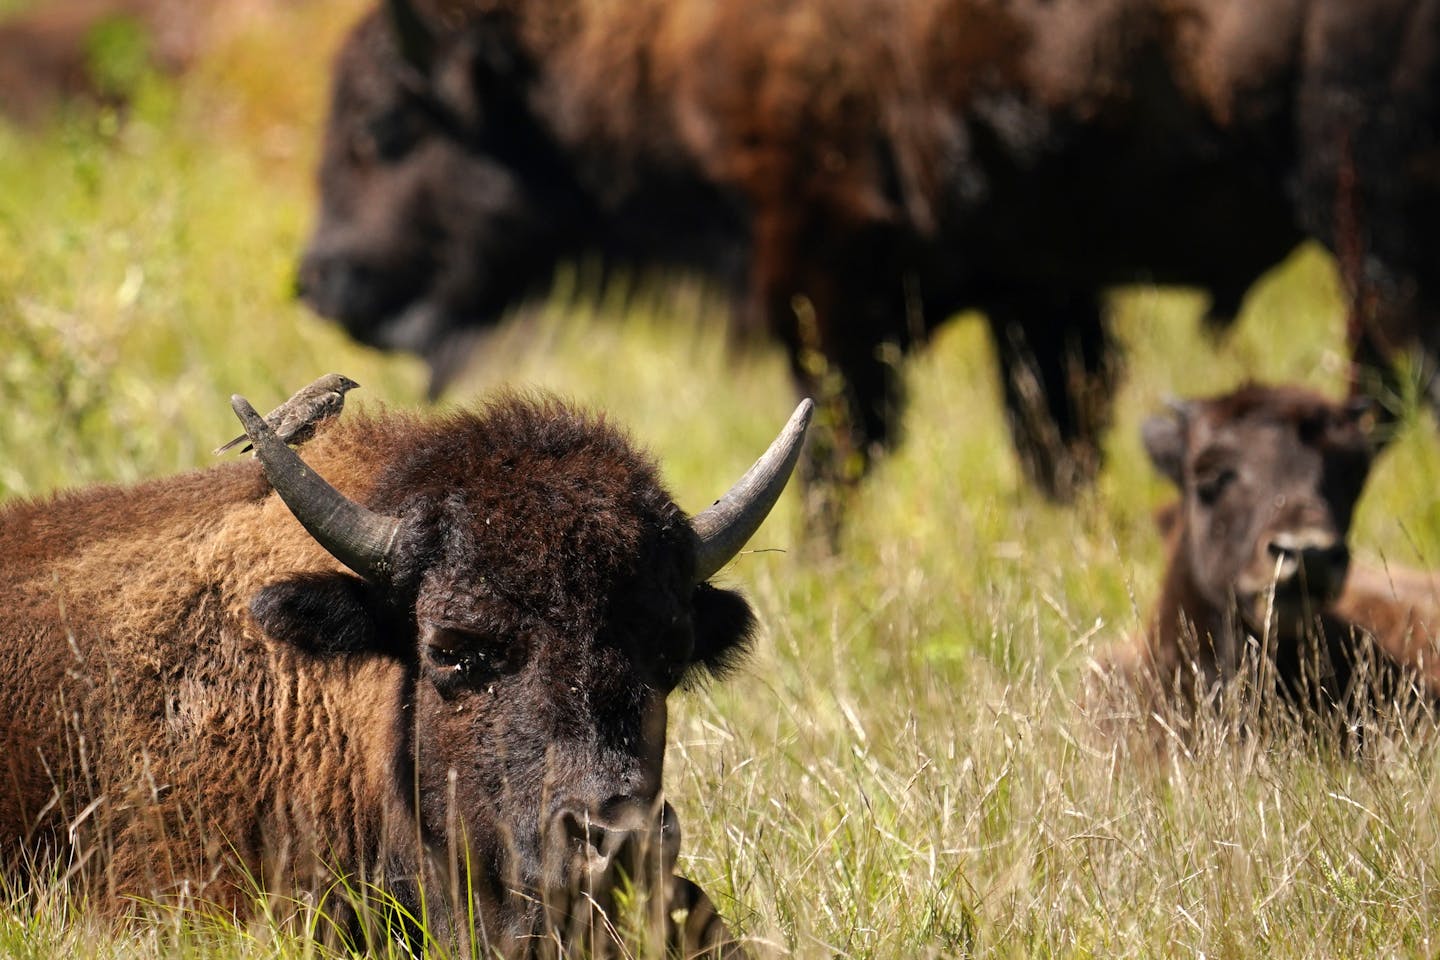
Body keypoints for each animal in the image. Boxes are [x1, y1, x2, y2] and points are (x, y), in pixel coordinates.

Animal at [298, 0, 1440, 502]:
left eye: (387, 124)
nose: (321, 278)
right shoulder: (1040, 287)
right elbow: (1054, 438)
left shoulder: (827, 269)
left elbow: (837, 447)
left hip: (1365, 223)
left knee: (1379, 388)